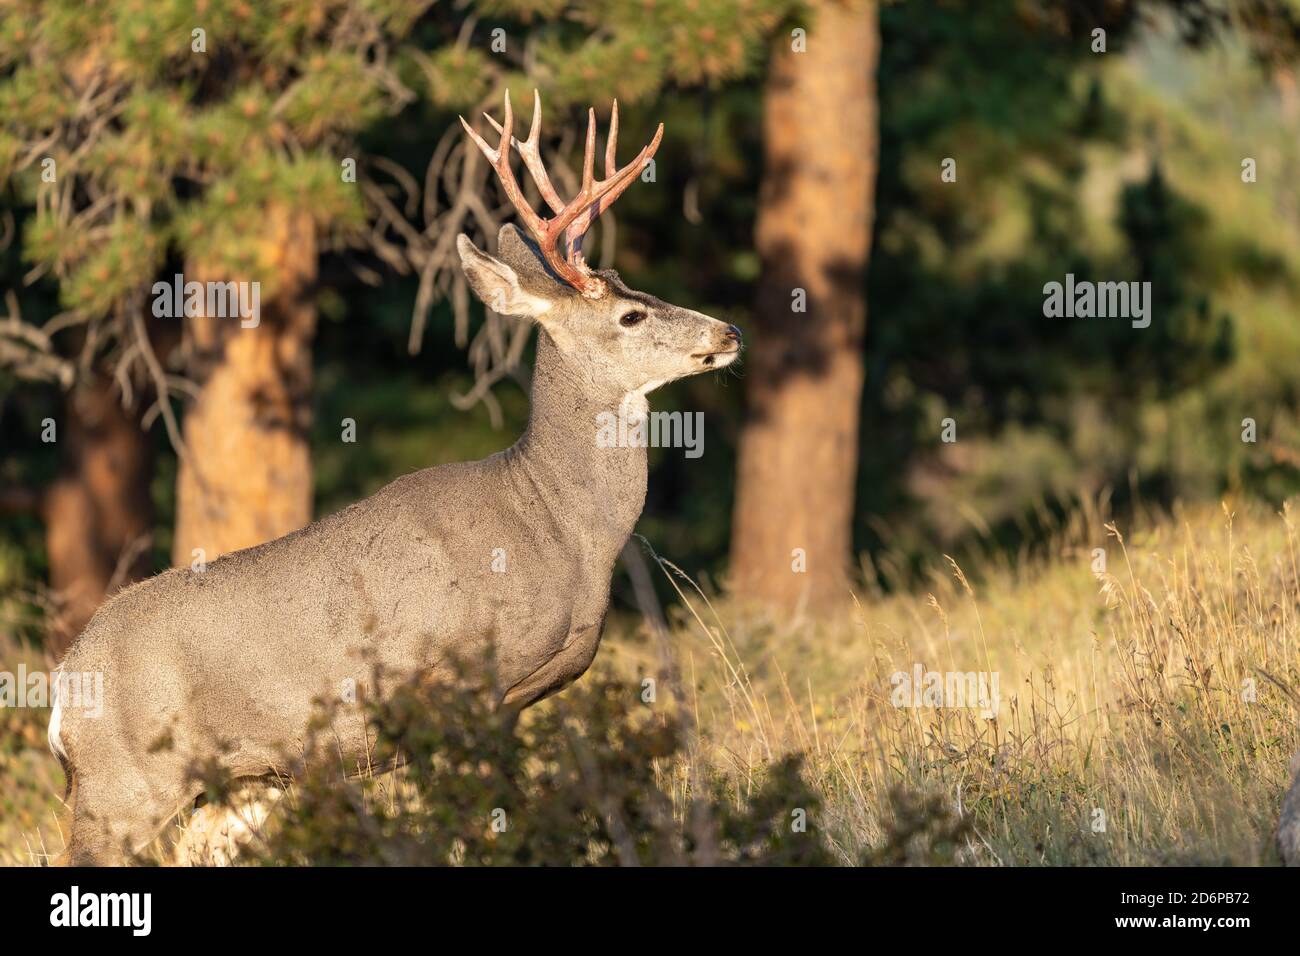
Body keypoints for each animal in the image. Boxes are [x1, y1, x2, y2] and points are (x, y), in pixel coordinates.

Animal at [49, 90, 742, 865]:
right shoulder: (460, 679)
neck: (557, 525)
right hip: (121, 782)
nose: (727, 333)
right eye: (631, 314)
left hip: (241, 780)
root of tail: (62, 687)